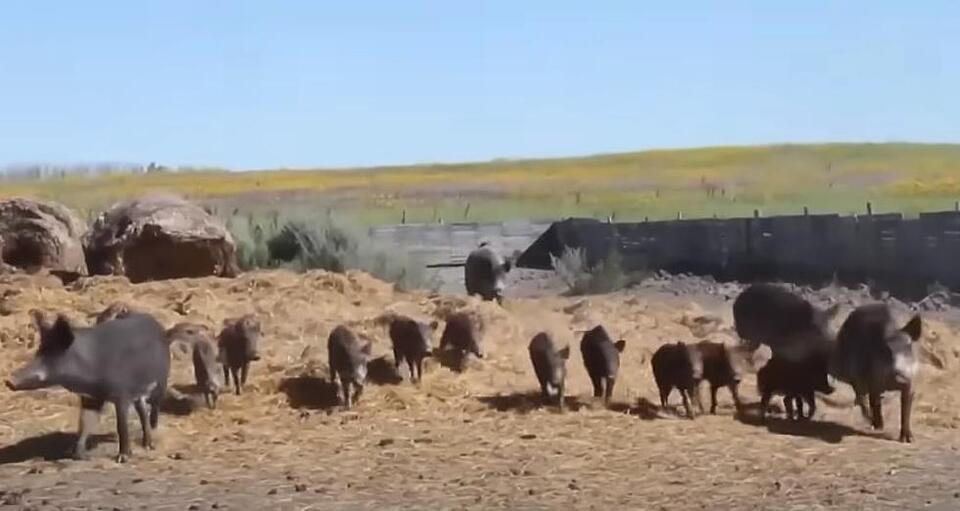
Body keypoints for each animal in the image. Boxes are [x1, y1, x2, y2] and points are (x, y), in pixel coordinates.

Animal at [6, 310, 171, 463]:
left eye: (52, 354)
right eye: (38, 351)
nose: (9, 380)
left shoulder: (121, 395)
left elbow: (121, 425)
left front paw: (122, 458)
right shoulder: (90, 399)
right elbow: (84, 424)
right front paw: (75, 454)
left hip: (161, 381)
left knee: (154, 407)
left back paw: (152, 439)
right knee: (142, 408)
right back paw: (147, 444)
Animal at [832, 303, 922, 442]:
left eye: (908, 347)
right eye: (886, 350)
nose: (901, 378)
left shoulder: (911, 383)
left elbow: (905, 410)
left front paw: (909, 440)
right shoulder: (866, 378)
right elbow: (869, 400)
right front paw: (876, 426)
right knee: (864, 398)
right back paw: (875, 424)